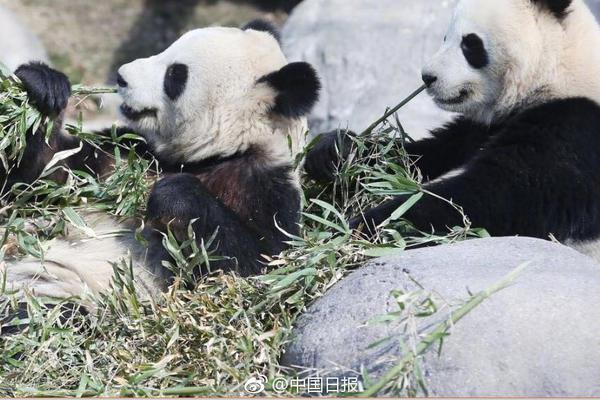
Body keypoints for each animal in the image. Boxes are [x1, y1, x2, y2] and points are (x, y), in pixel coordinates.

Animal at [2, 21, 322, 304]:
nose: (121, 76)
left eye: (175, 76)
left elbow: (258, 269)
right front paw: (41, 86)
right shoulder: (124, 154)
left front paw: (174, 195)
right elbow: (38, 177)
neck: (215, 153)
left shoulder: (263, 186)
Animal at [304, 0, 600, 260]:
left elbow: (490, 197)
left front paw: (365, 224)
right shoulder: (477, 129)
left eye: (470, 43)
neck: (558, 71)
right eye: (446, 36)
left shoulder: (574, 129)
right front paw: (336, 153)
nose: (427, 77)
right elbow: (423, 155)